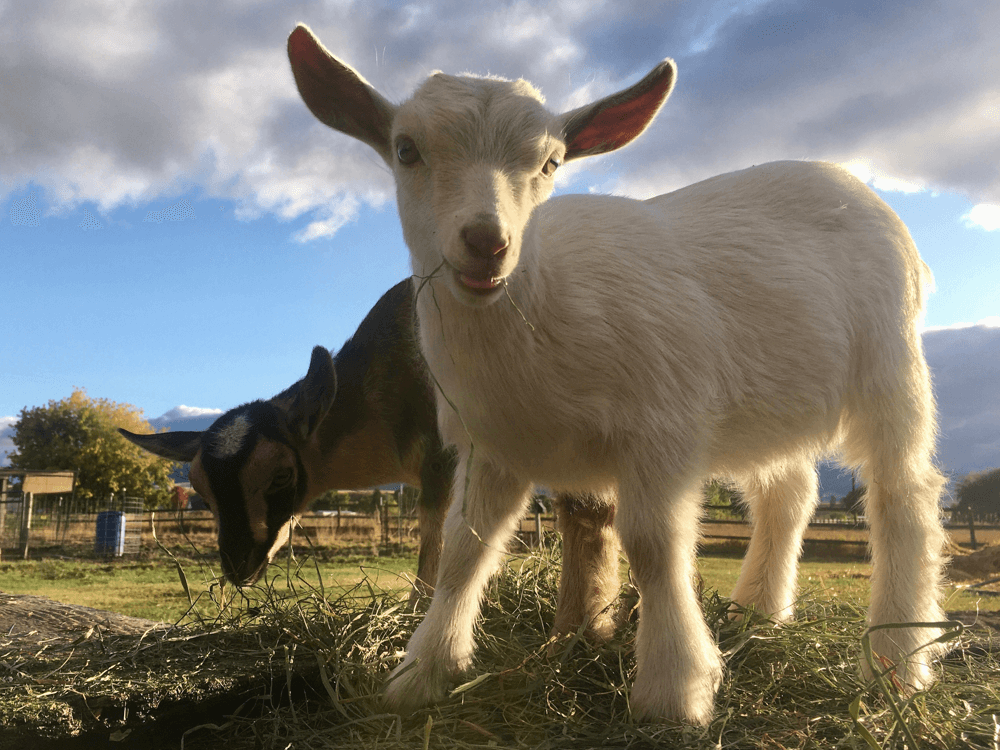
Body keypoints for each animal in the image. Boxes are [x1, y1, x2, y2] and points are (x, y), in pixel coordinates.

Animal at [121, 280, 620, 637]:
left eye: (281, 475)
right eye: (201, 490)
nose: (237, 565)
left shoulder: (442, 458)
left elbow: (434, 533)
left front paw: (418, 612)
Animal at [287, 24, 947, 725]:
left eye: (551, 163)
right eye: (406, 149)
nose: (487, 242)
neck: (536, 304)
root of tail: (849, 181)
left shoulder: (663, 426)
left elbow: (654, 545)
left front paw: (674, 687)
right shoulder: (494, 445)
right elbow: (465, 550)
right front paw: (423, 674)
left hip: (890, 363)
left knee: (903, 495)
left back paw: (897, 664)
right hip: (764, 403)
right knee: (789, 491)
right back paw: (758, 614)